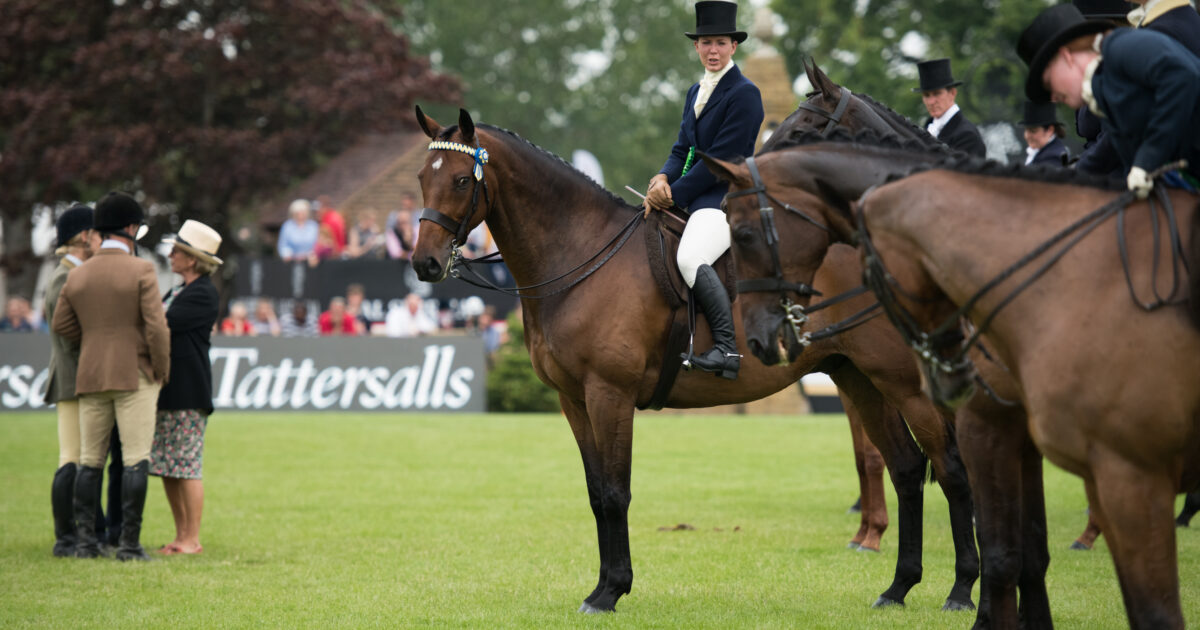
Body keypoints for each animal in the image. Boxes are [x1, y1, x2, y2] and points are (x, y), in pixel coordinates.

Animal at [409, 106, 978, 613]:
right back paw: (898, 588)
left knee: (951, 469)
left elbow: (616, 493)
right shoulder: (574, 400)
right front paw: (600, 588)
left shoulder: (609, 394)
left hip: (902, 381)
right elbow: (596, 493)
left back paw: (960, 590)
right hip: (859, 377)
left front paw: (611, 592)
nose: (425, 264)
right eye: (420, 177)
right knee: (906, 469)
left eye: (460, 180)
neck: (581, 255)